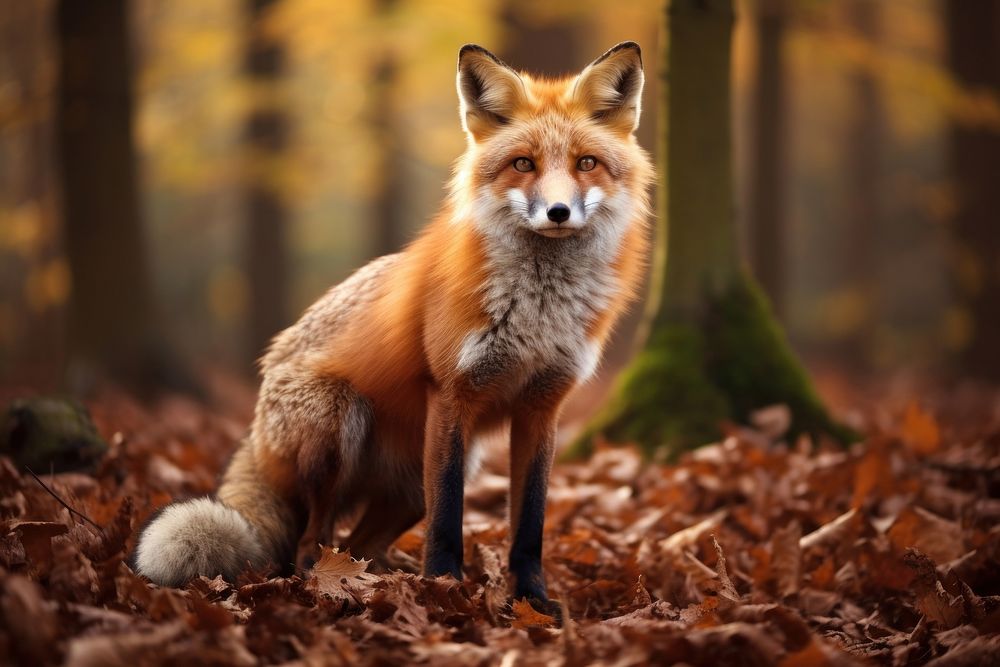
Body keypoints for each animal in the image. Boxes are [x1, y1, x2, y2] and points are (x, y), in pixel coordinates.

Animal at [133, 42, 653, 608]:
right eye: (523, 164)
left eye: (586, 164)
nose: (558, 212)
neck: (540, 312)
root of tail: (255, 423)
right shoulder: (450, 393)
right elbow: (449, 516)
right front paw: (445, 587)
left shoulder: (542, 407)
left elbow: (530, 520)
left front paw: (531, 598)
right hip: (339, 422)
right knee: (312, 539)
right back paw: (323, 583)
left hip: (417, 485)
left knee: (358, 545)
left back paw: (377, 580)